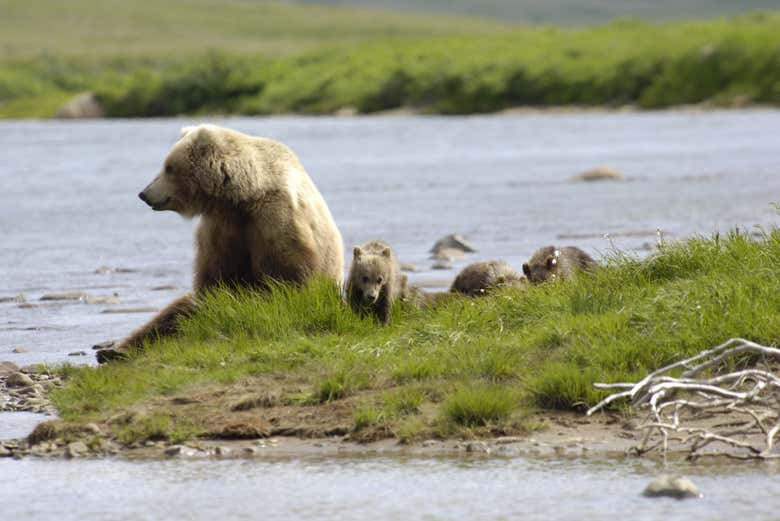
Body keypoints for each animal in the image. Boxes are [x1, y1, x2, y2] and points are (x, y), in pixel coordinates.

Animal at [96, 124, 344, 363]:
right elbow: (217, 279)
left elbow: (285, 277)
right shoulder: (221, 227)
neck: (241, 197)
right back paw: (115, 350)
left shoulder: (274, 218)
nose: (144, 193)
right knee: (173, 312)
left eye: (169, 168)